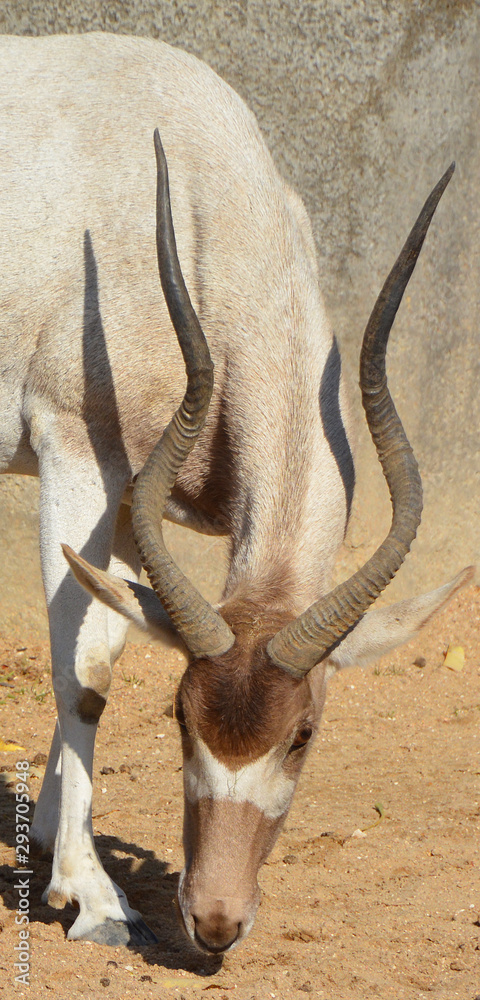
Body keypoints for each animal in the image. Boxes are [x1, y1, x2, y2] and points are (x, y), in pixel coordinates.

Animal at [1, 33, 472, 955]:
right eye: (181, 719)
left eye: (303, 735)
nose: (216, 921)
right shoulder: (75, 444)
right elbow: (88, 668)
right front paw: (93, 897)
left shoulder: (127, 482)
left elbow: (108, 618)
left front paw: (45, 841)